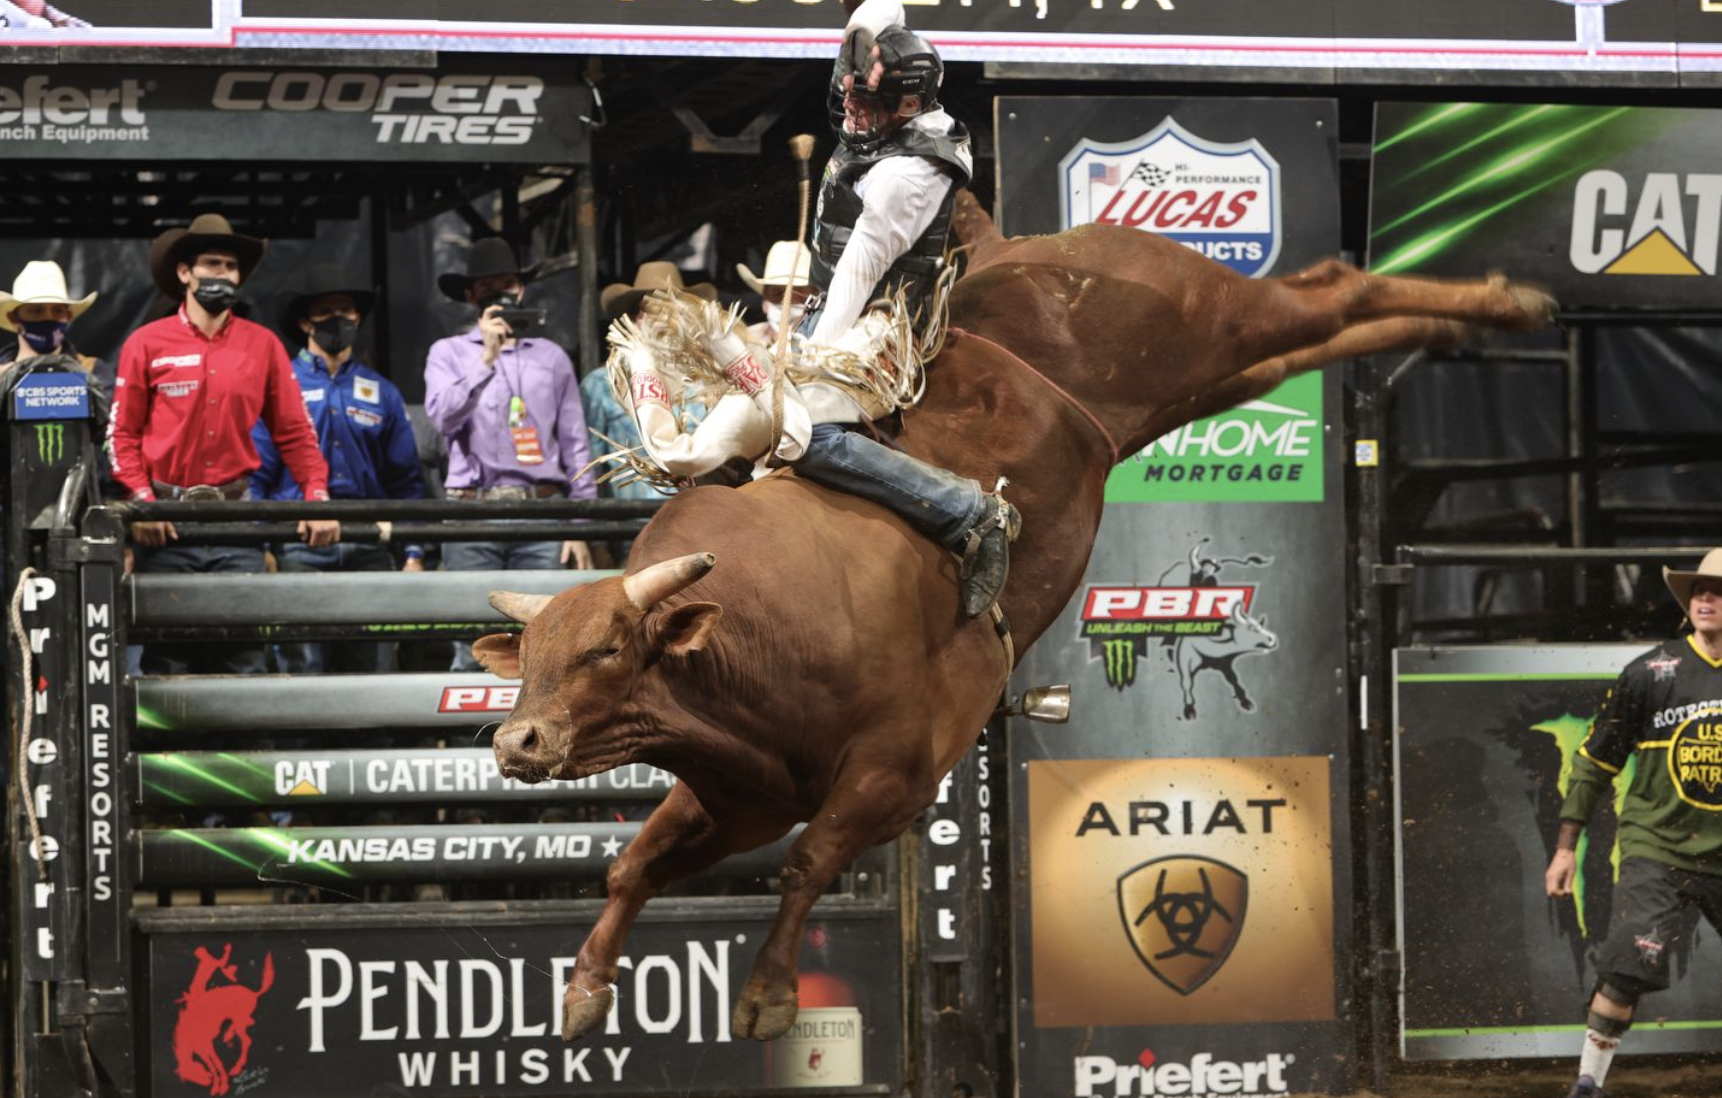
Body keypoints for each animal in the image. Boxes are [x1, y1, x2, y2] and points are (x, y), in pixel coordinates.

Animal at [479, 193, 1555, 1042]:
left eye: (608, 650)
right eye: (527, 655)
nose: (516, 740)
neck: (745, 645)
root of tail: (1006, 249)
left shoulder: (898, 772)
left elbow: (810, 864)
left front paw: (768, 1000)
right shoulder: (737, 797)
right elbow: (633, 867)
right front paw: (581, 995)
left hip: (1198, 318)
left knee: (1320, 293)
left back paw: (1509, 301)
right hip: (1201, 375)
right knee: (1321, 321)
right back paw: (1471, 318)